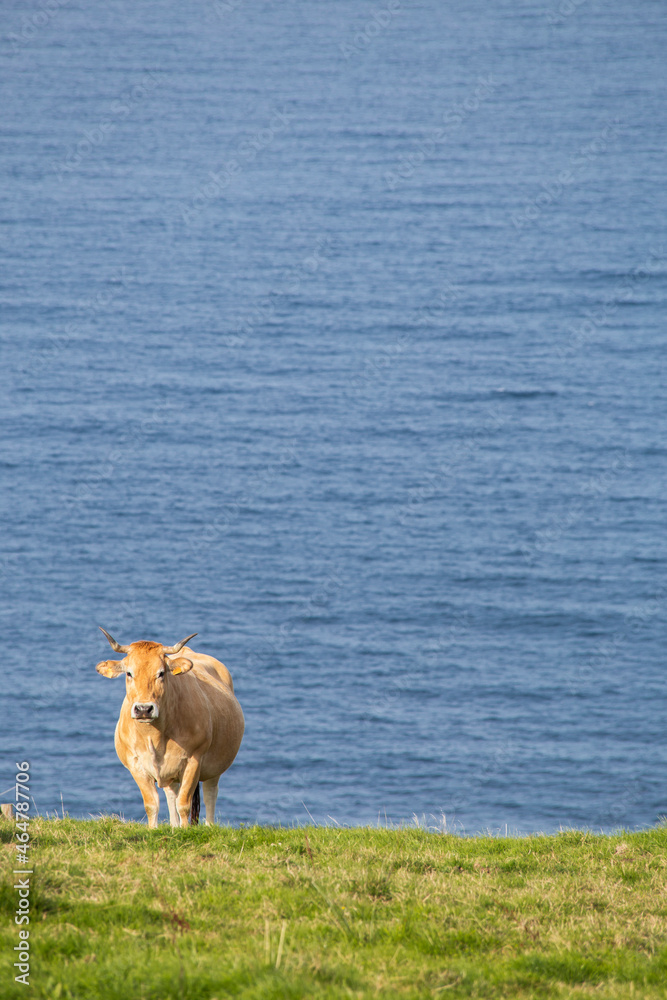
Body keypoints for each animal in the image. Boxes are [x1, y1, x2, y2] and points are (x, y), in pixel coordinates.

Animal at [96, 628, 244, 828]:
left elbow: (184, 804)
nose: (144, 709)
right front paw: (153, 829)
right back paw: (174, 826)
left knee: (210, 792)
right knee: (171, 792)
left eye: (161, 673)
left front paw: (186, 830)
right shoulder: (135, 764)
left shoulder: (194, 759)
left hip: (216, 764)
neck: (155, 737)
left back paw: (209, 825)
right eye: (129, 673)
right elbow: (152, 804)